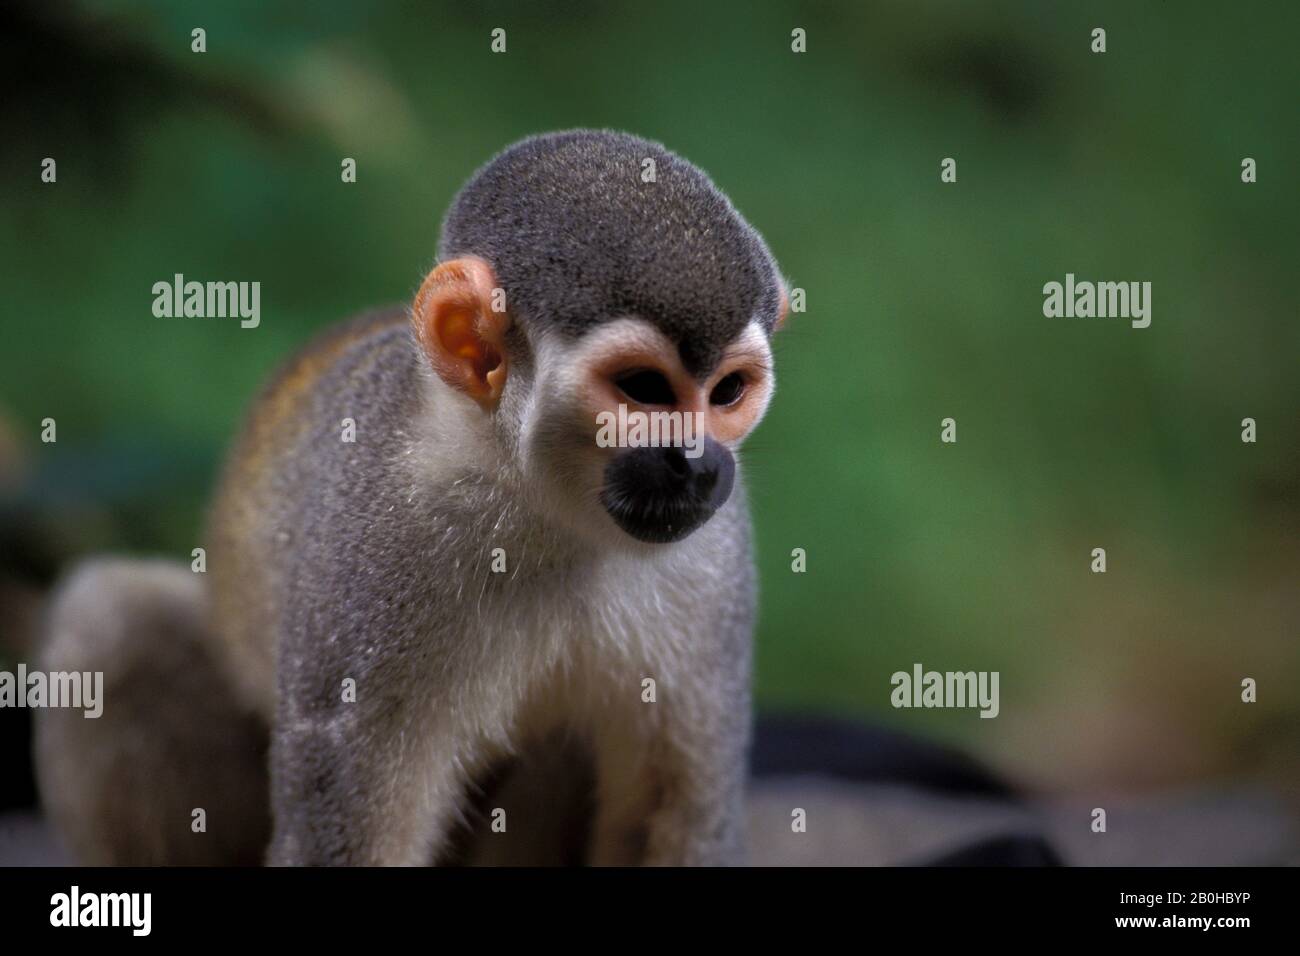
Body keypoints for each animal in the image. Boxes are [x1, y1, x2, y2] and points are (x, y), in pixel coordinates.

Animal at [34, 129, 787, 866]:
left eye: (727, 392)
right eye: (644, 389)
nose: (699, 467)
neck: (541, 507)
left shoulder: (717, 554)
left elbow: (679, 818)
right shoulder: (375, 542)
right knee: (110, 618)